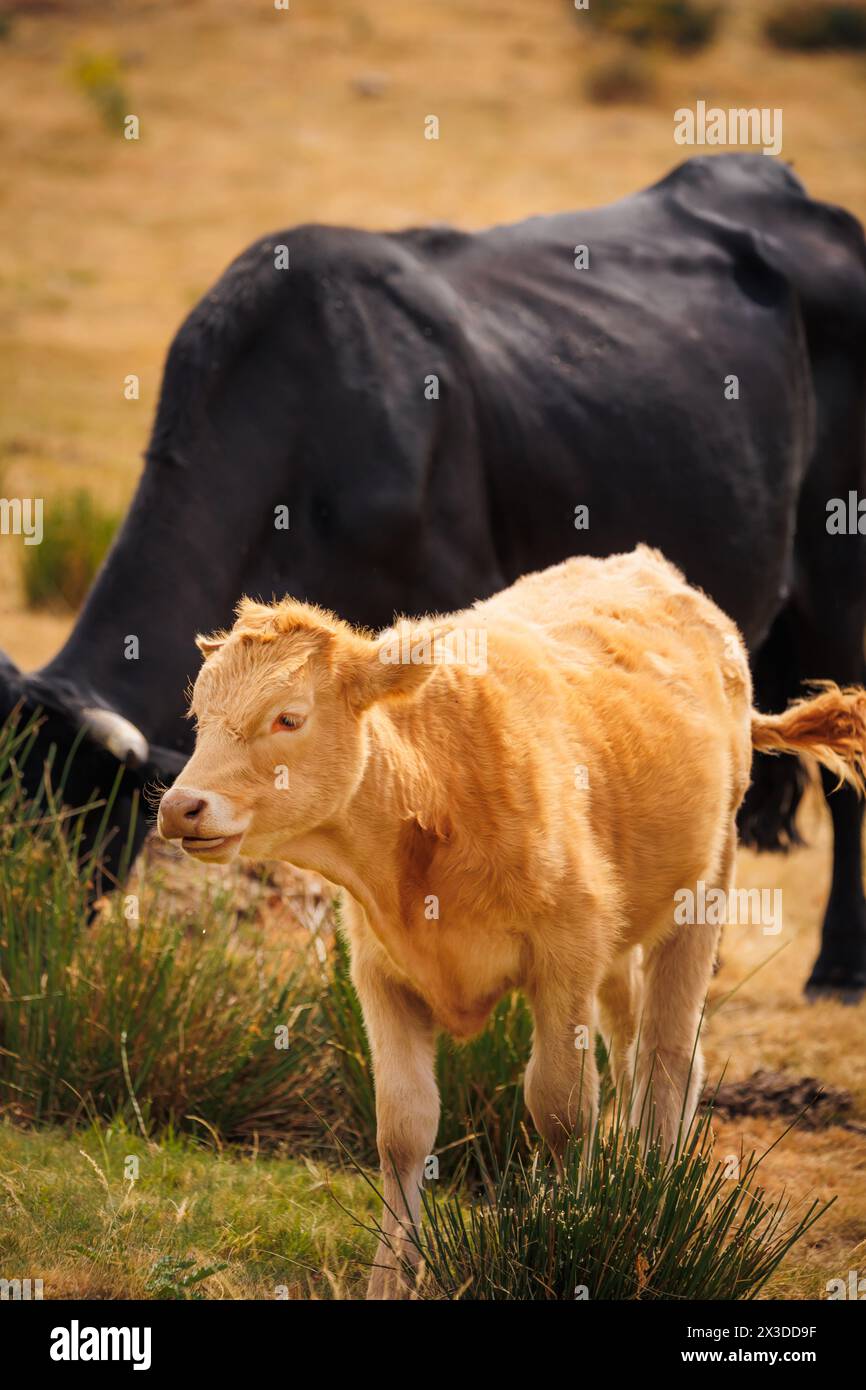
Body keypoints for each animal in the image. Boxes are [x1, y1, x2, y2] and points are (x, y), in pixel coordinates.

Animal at [157, 547, 866, 1298]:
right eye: (200, 715)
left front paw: (572, 1239)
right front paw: (390, 1278)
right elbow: (403, 1128)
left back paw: (653, 1206)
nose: (180, 807)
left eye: (288, 718)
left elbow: (561, 1109)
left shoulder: (565, 961)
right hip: (619, 940)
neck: (435, 792)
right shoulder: (382, 976)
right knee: (634, 1050)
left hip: (703, 893)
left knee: (668, 1058)